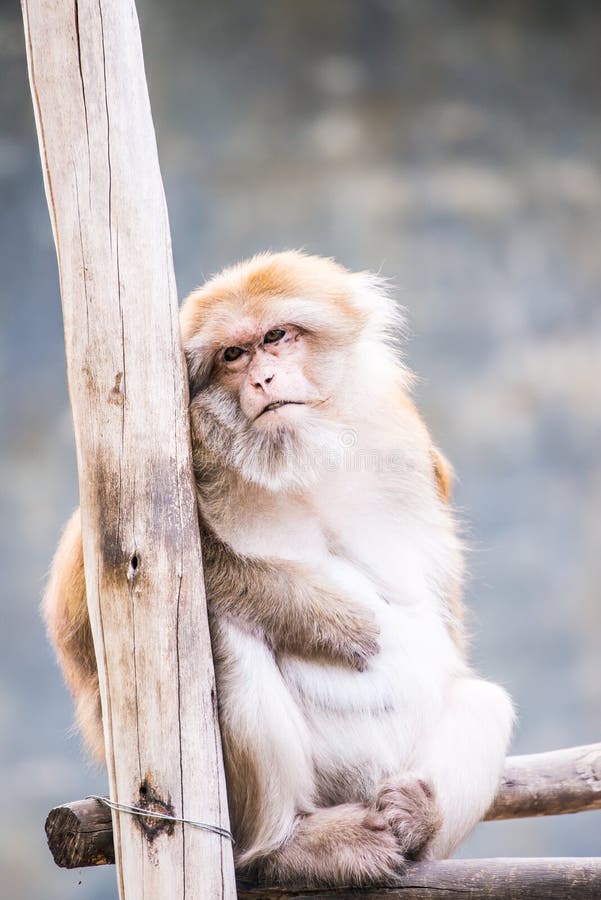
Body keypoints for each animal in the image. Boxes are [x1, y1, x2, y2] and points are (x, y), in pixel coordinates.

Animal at [44, 250, 514, 887]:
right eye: (232, 356)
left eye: (275, 337)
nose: (262, 380)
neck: (298, 459)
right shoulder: (178, 448)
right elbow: (127, 565)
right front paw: (331, 621)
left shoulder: (405, 452)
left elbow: (437, 611)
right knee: (225, 634)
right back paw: (284, 847)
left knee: (484, 703)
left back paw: (416, 819)